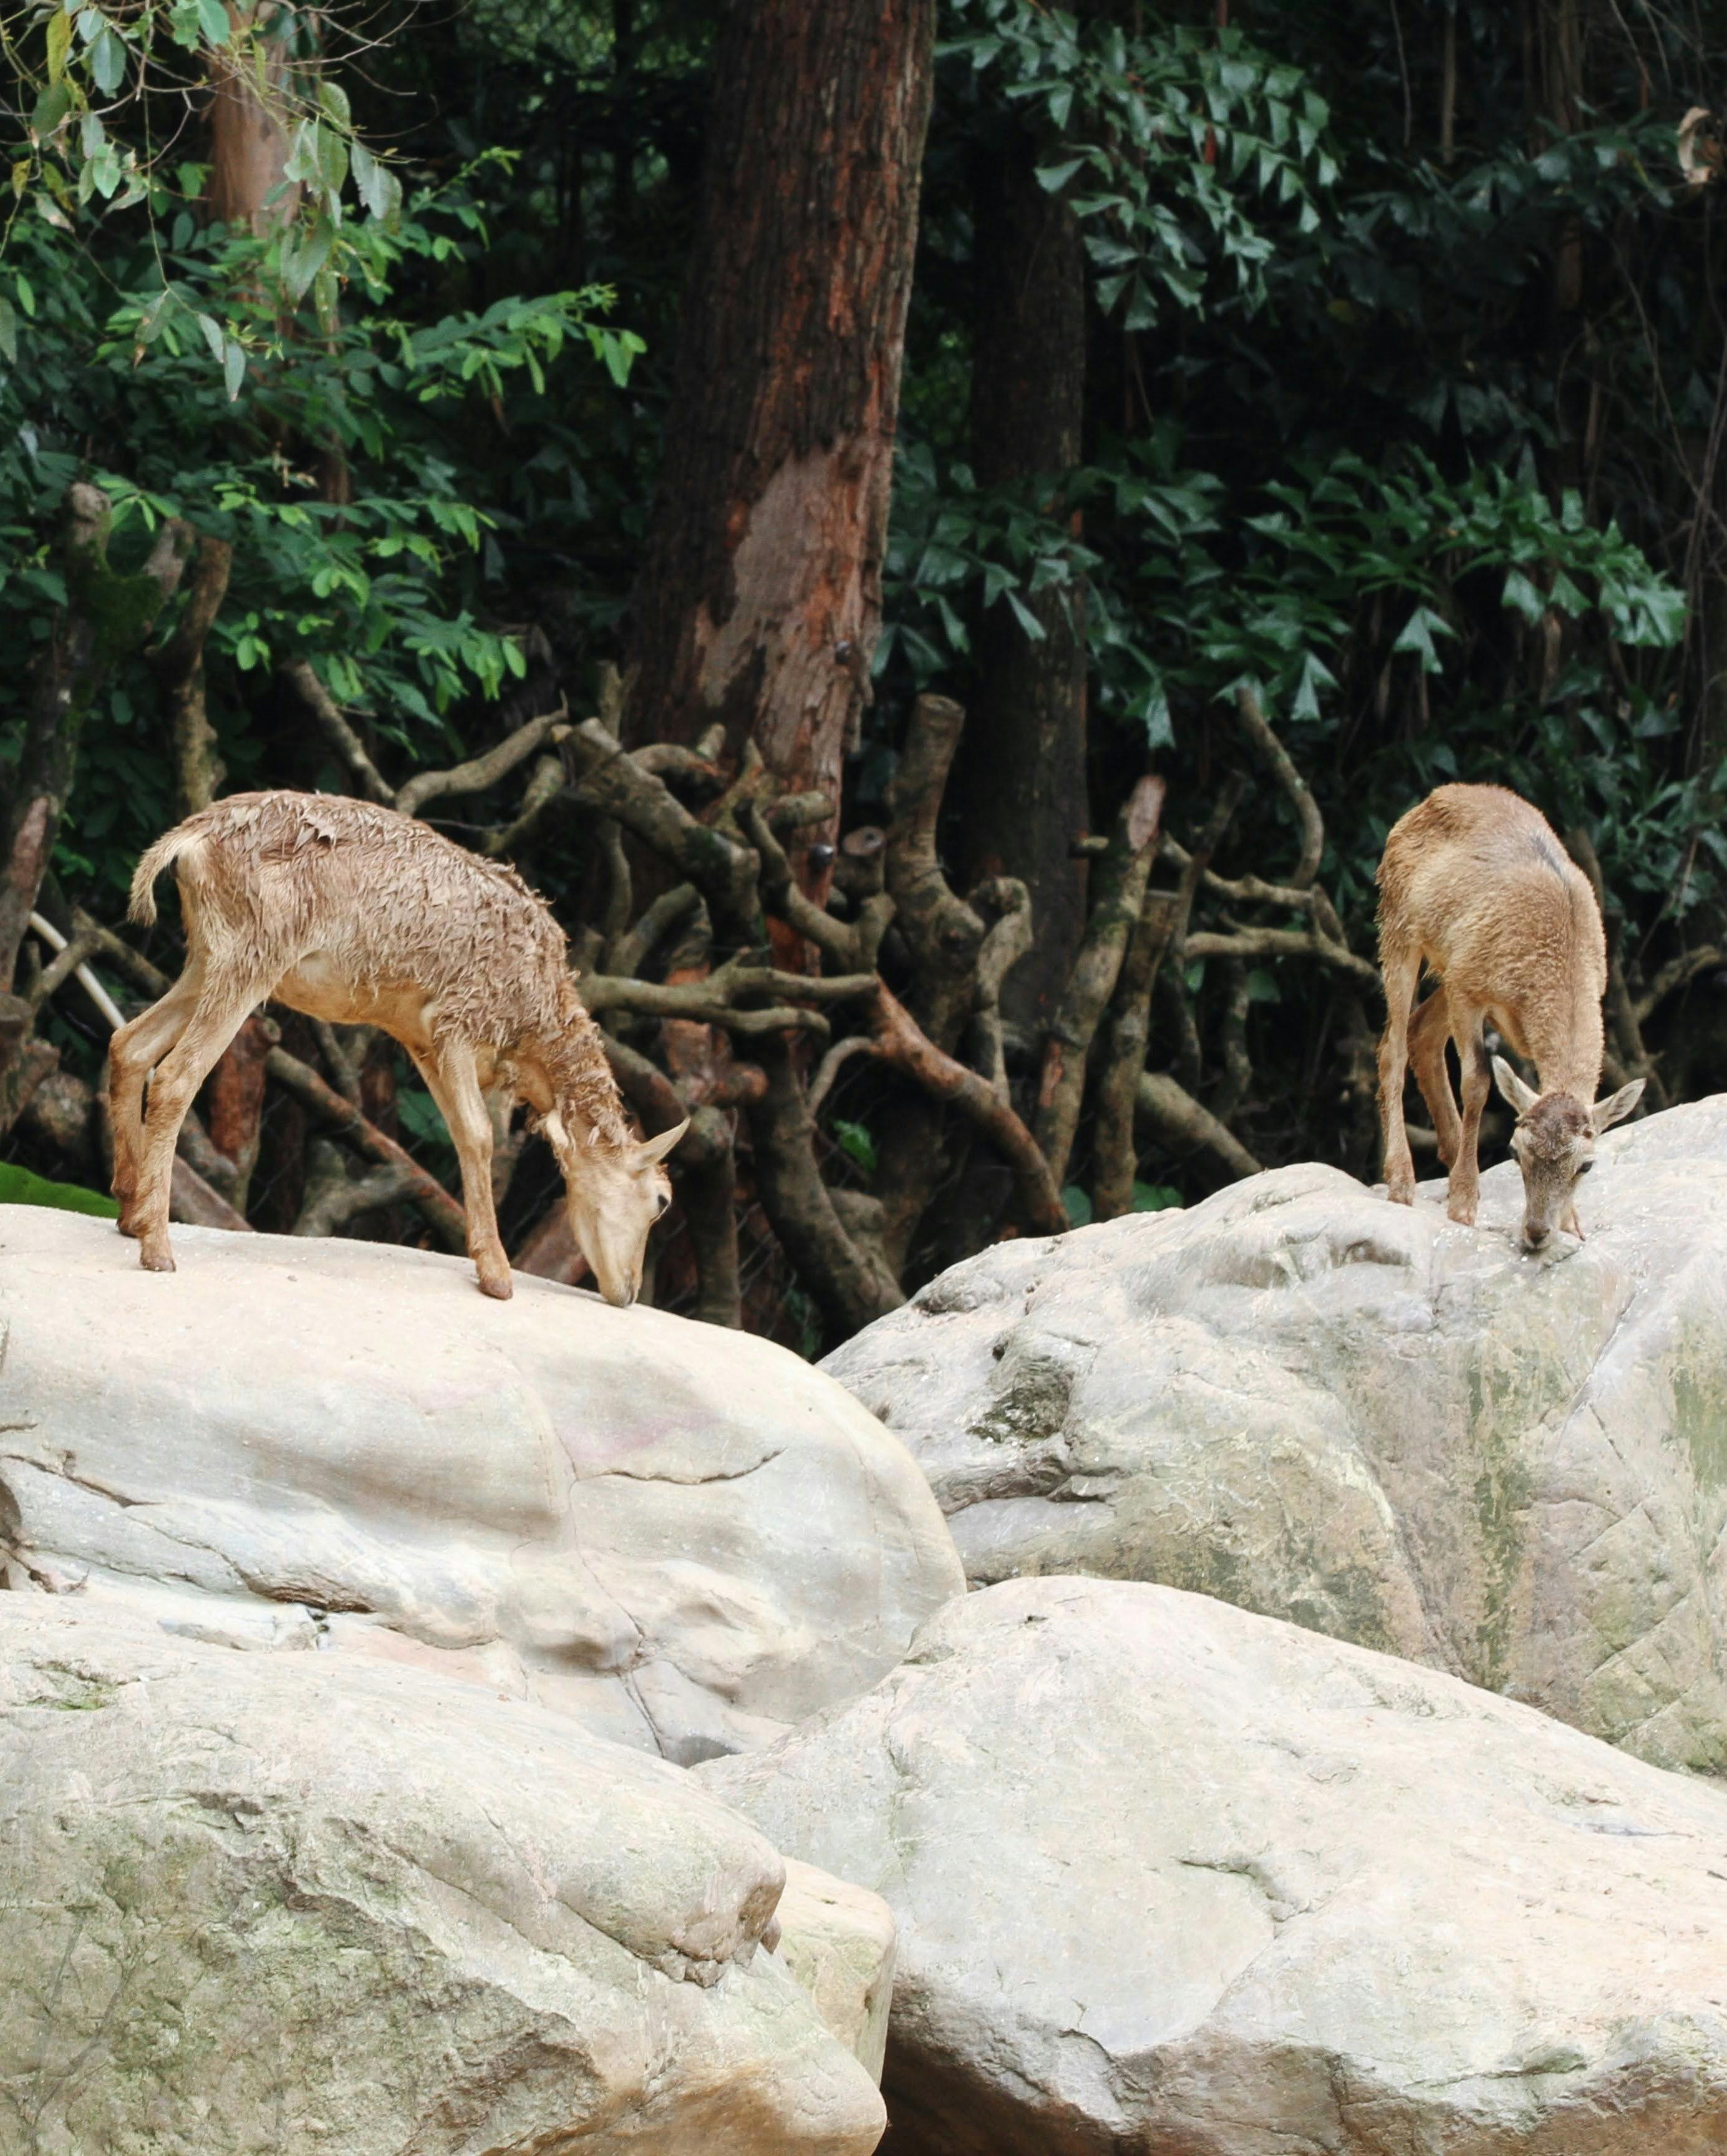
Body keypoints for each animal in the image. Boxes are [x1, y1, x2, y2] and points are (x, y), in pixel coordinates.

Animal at [113, 790, 686, 1304]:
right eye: (661, 1201)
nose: (627, 1293)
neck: (537, 1020)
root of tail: (190, 840)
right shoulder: (457, 1024)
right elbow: (479, 1136)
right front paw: (498, 1278)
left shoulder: (423, 1043)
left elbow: (459, 1136)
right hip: (250, 960)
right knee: (176, 1075)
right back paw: (158, 1248)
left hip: (206, 958)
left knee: (129, 1043)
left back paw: (128, 1213)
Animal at [1375, 782, 1643, 1253]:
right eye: (1515, 1151)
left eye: (1586, 1166)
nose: (1536, 1232)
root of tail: (1423, 804)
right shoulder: (1469, 988)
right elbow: (1478, 1082)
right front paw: (1463, 1205)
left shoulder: (1465, 976)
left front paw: (1573, 1223)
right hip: (1397, 926)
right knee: (1393, 1046)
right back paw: (1402, 1182)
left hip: (1447, 961)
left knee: (1420, 1032)